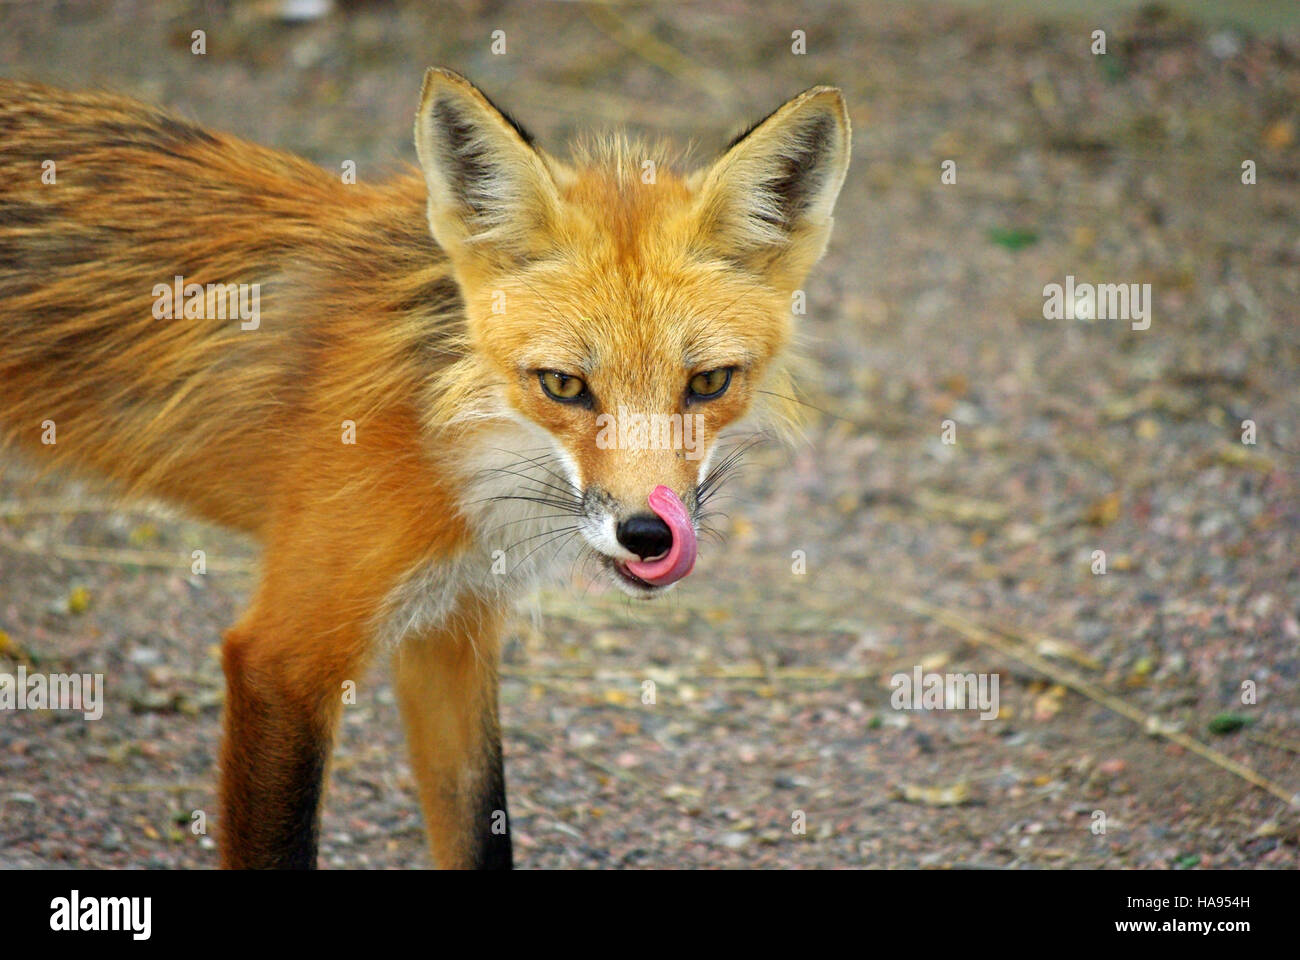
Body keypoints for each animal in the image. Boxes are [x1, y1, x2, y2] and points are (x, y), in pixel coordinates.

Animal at [0, 68, 850, 868]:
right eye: (563, 385)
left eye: (707, 382)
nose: (647, 534)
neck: (452, 441)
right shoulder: (282, 656)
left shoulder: (452, 627)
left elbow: (480, 828)